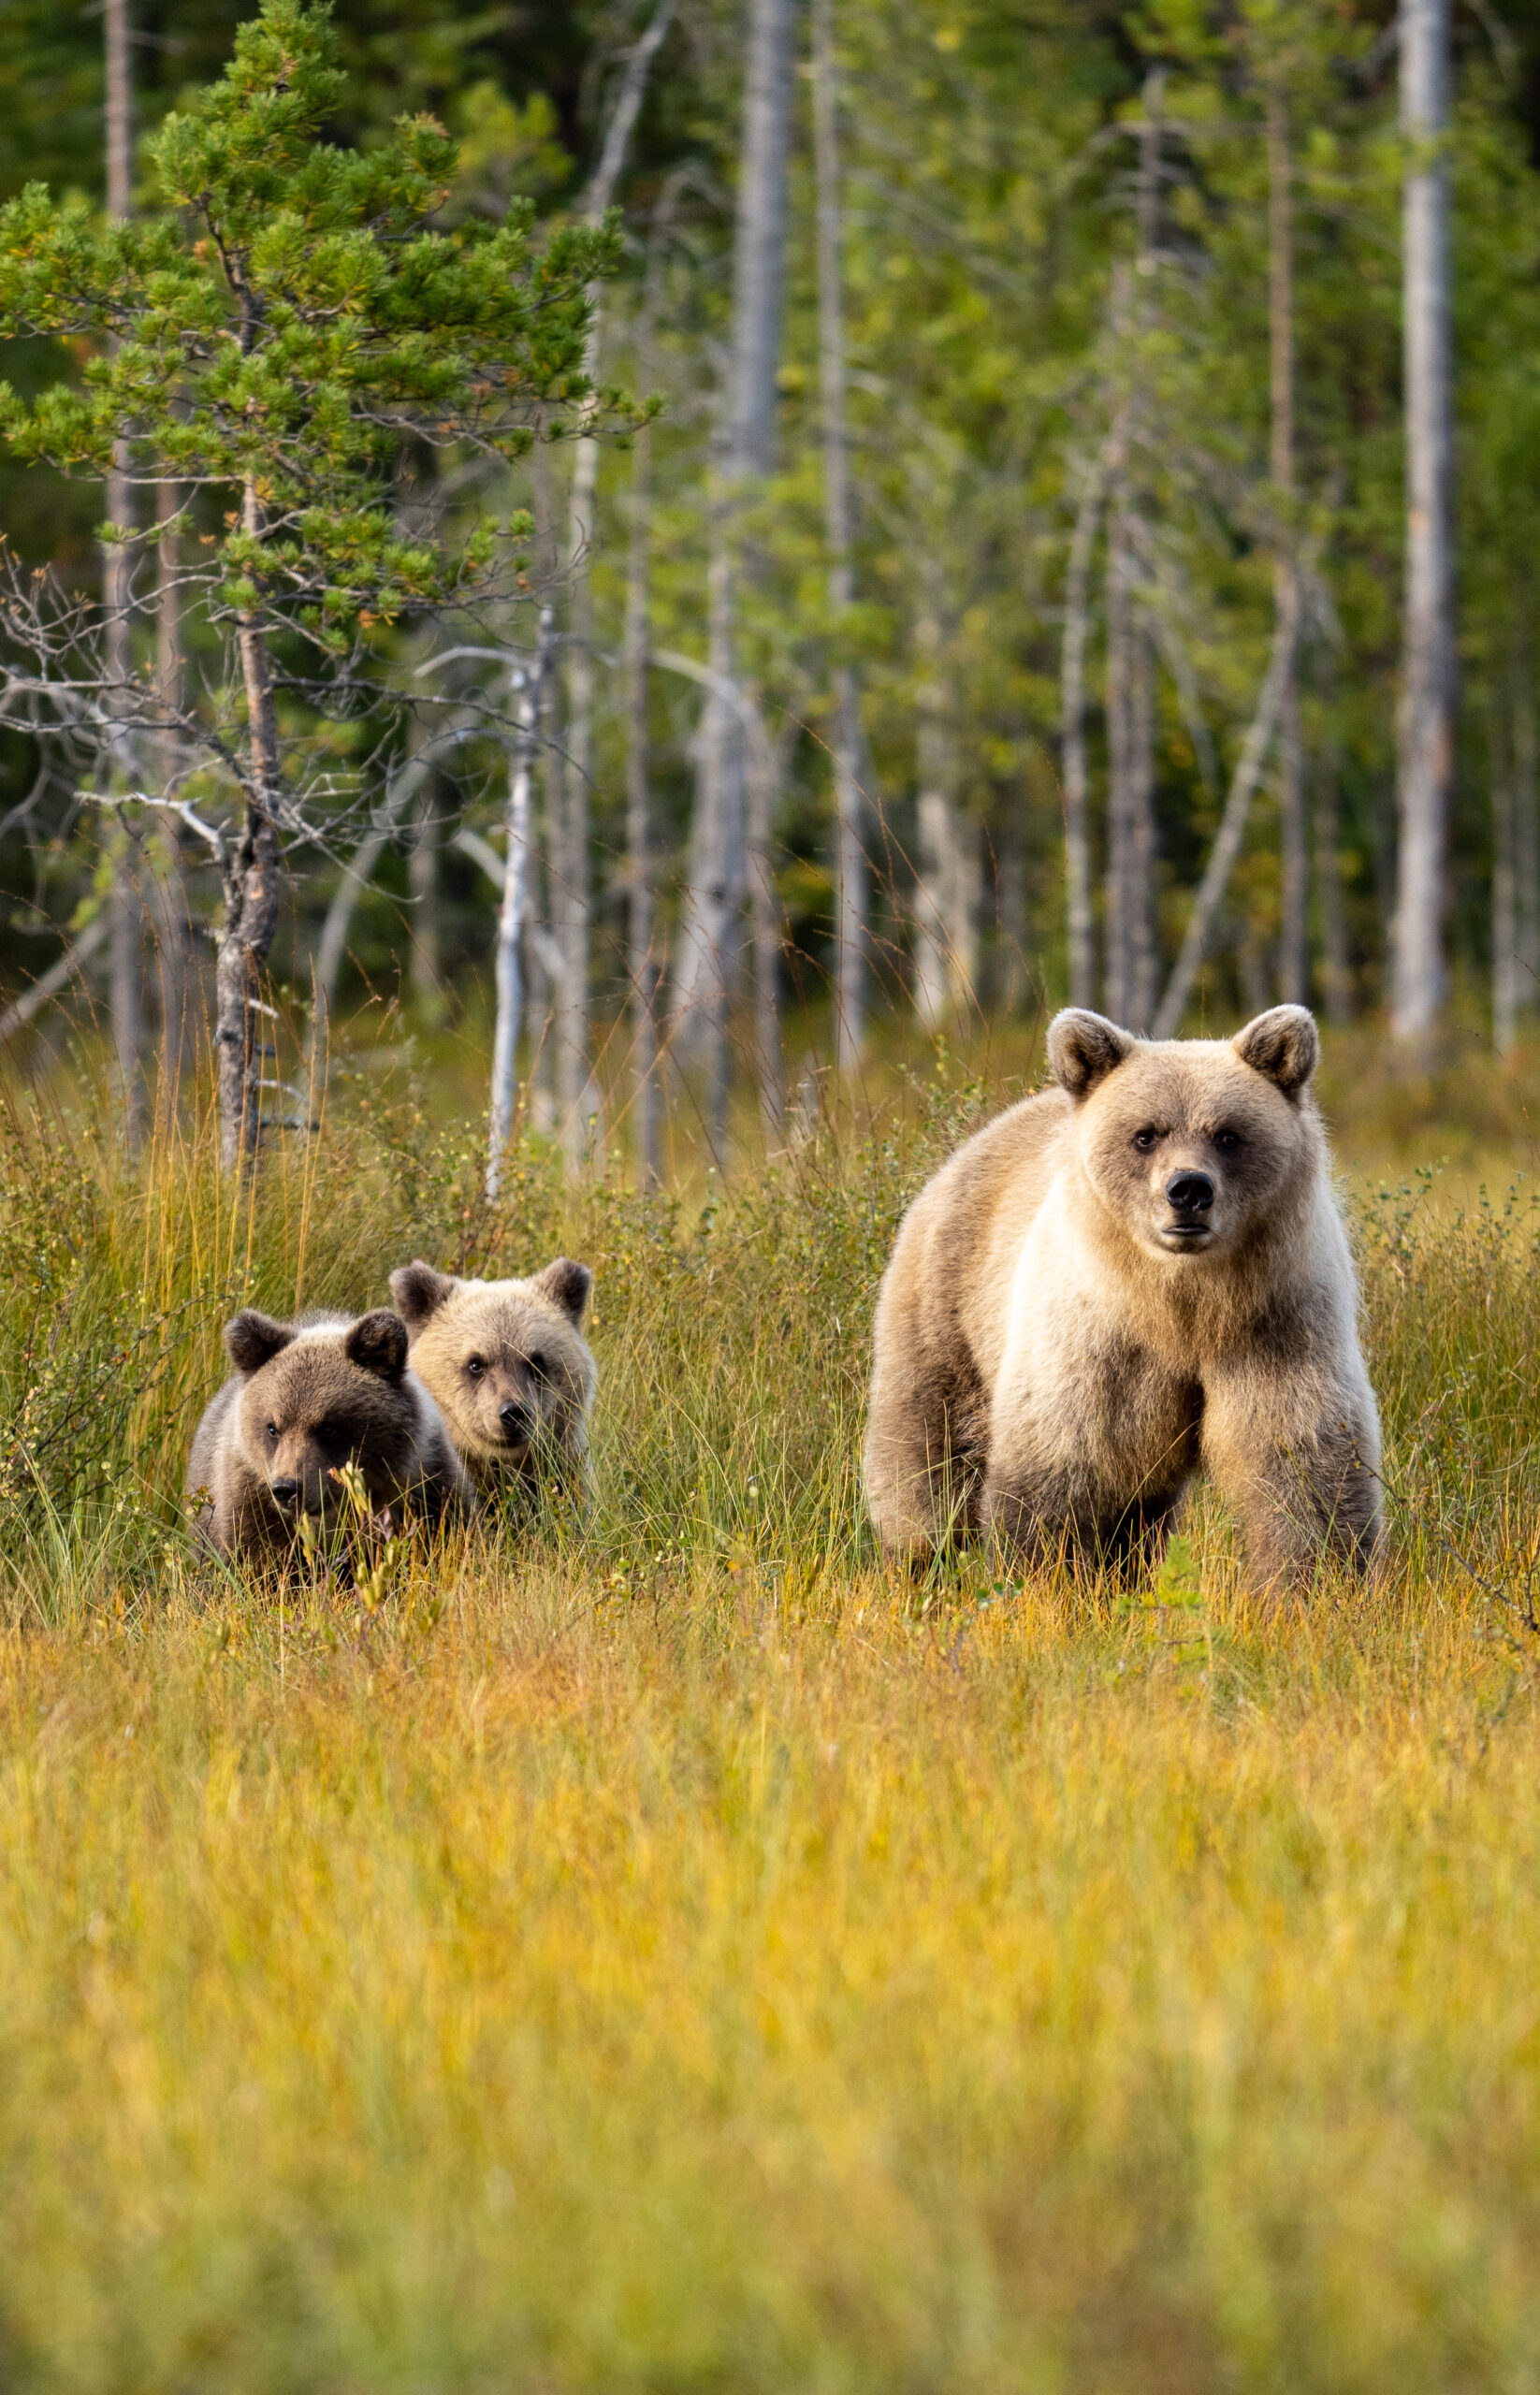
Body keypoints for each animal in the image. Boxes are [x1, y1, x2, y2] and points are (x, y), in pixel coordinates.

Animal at [185, 1306, 474, 1560]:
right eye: (272, 1428)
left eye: (327, 1427)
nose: (287, 1488)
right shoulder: (251, 1500)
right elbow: (251, 1558)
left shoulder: (426, 1485)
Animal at [863, 1004, 1381, 1588]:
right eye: (1145, 1135)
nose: (1188, 1190)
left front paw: (1319, 1582)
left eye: (1228, 1134)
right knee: (925, 1448)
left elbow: (1302, 1460)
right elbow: (1063, 1459)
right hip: (945, 1300)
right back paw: (917, 1561)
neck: (1183, 1303)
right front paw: (1046, 1577)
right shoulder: (1097, 1337)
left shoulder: (1277, 1321)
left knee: (1142, 1509)